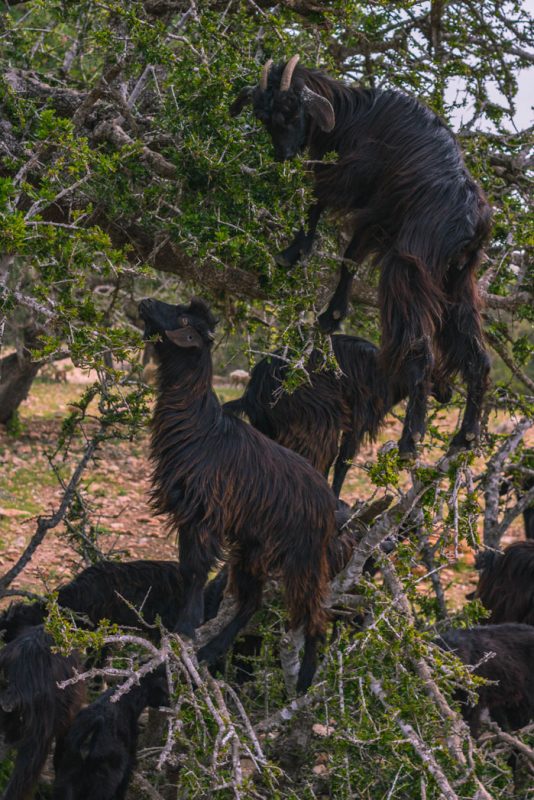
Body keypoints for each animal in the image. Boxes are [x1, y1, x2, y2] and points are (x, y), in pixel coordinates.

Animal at [139, 296, 337, 693]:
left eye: (182, 317)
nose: (145, 302)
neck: (199, 425)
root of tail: (328, 503)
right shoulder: (188, 512)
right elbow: (187, 568)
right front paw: (185, 627)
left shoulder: (206, 513)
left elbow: (197, 568)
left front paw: (187, 625)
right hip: (253, 547)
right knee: (251, 603)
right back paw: (212, 651)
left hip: (302, 556)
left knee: (313, 612)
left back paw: (305, 680)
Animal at [223, 334, 452, 496]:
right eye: (432, 368)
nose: (448, 393)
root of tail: (252, 395)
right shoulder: (359, 418)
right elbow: (344, 460)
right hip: (315, 420)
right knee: (317, 457)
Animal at [230, 57, 491, 459]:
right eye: (263, 116)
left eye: (292, 110)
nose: (283, 154)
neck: (354, 113)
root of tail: (471, 223)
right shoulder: (378, 216)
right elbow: (350, 257)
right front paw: (333, 314)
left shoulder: (355, 177)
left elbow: (317, 197)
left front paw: (293, 252)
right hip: (457, 282)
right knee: (478, 358)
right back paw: (466, 435)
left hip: (408, 268)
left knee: (420, 350)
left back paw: (411, 438)